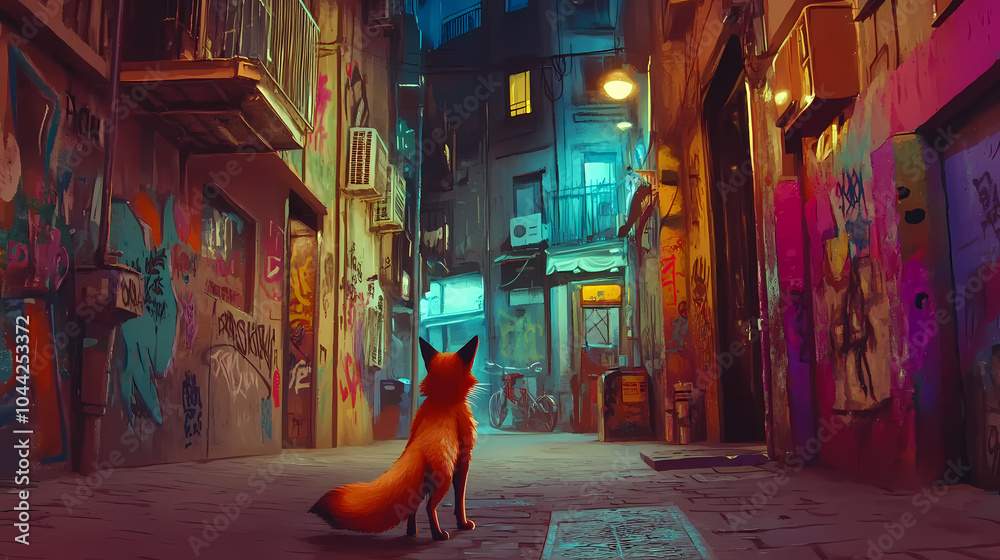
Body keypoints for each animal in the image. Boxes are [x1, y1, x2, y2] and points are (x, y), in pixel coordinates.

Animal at [310, 335, 480, 541]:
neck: (442, 400)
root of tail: (417, 451)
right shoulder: (464, 460)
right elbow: (460, 501)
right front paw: (463, 524)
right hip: (443, 483)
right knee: (429, 507)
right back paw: (438, 535)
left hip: (420, 488)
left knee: (412, 509)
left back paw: (411, 533)